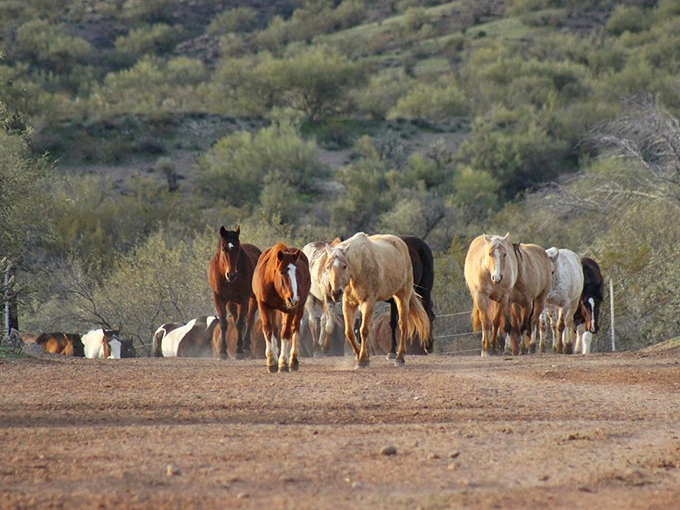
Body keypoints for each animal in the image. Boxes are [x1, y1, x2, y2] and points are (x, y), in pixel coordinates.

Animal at [208, 226, 262, 359]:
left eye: (237, 249)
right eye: (223, 249)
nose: (231, 275)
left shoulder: (243, 299)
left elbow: (241, 322)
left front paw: (239, 351)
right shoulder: (219, 298)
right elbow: (224, 323)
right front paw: (223, 351)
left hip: (252, 299)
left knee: (249, 319)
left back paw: (246, 347)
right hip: (231, 302)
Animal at [252, 243, 311, 373]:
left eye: (297, 272)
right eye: (282, 272)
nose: (293, 298)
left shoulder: (290, 309)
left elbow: (285, 333)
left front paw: (283, 362)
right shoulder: (263, 305)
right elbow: (268, 330)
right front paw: (271, 361)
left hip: (299, 307)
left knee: (294, 329)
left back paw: (293, 361)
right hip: (274, 309)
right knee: (274, 329)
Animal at [325, 232, 430, 368]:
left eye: (344, 266)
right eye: (328, 267)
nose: (336, 292)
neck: (358, 270)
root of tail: (401, 243)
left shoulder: (368, 301)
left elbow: (364, 330)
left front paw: (362, 360)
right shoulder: (349, 303)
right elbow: (349, 332)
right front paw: (361, 356)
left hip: (402, 297)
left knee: (403, 325)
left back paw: (400, 358)